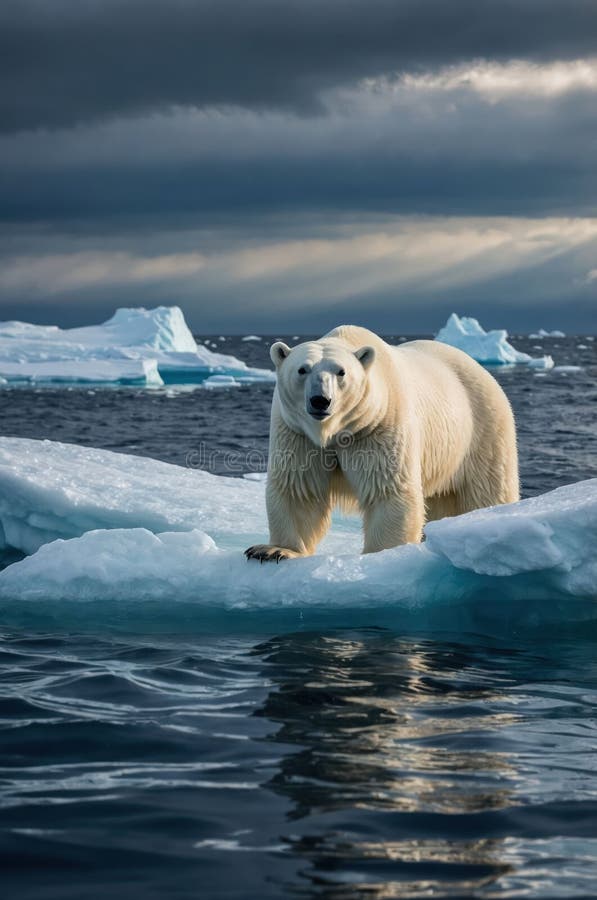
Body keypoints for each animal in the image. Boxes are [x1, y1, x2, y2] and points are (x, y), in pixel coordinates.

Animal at [245, 325, 519, 562]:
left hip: (482, 428)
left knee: (486, 491)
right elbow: (299, 488)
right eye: (302, 369)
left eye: (341, 372)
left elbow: (387, 490)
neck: (336, 430)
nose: (320, 400)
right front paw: (274, 550)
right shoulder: (298, 433)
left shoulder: (379, 426)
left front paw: (380, 554)